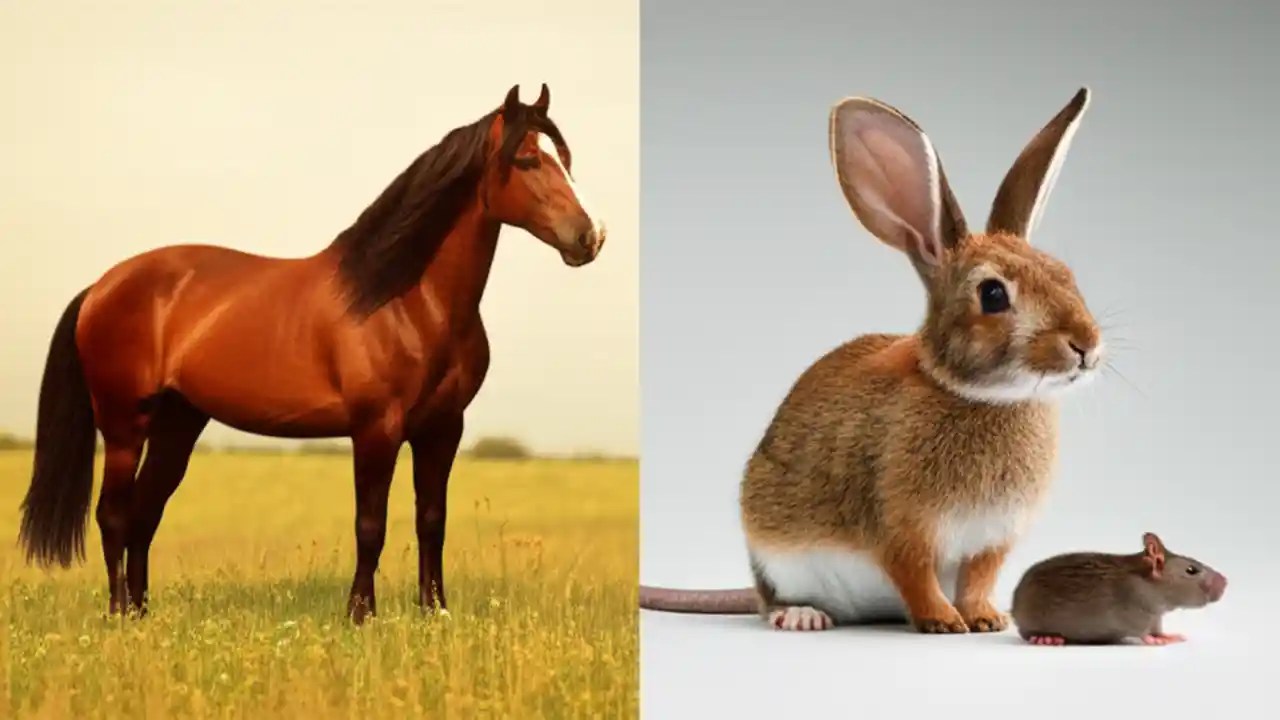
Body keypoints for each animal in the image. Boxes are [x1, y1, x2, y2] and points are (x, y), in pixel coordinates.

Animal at [17, 83, 607, 623]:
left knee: (144, 513)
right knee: (114, 516)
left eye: (565, 159)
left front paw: (433, 612)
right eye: (527, 158)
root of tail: (101, 286)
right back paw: (119, 613)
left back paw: (142, 614)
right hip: (123, 426)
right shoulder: (376, 428)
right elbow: (371, 525)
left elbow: (431, 520)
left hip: (178, 423)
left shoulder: (443, 428)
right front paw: (361, 615)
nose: (590, 237)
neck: (405, 298)